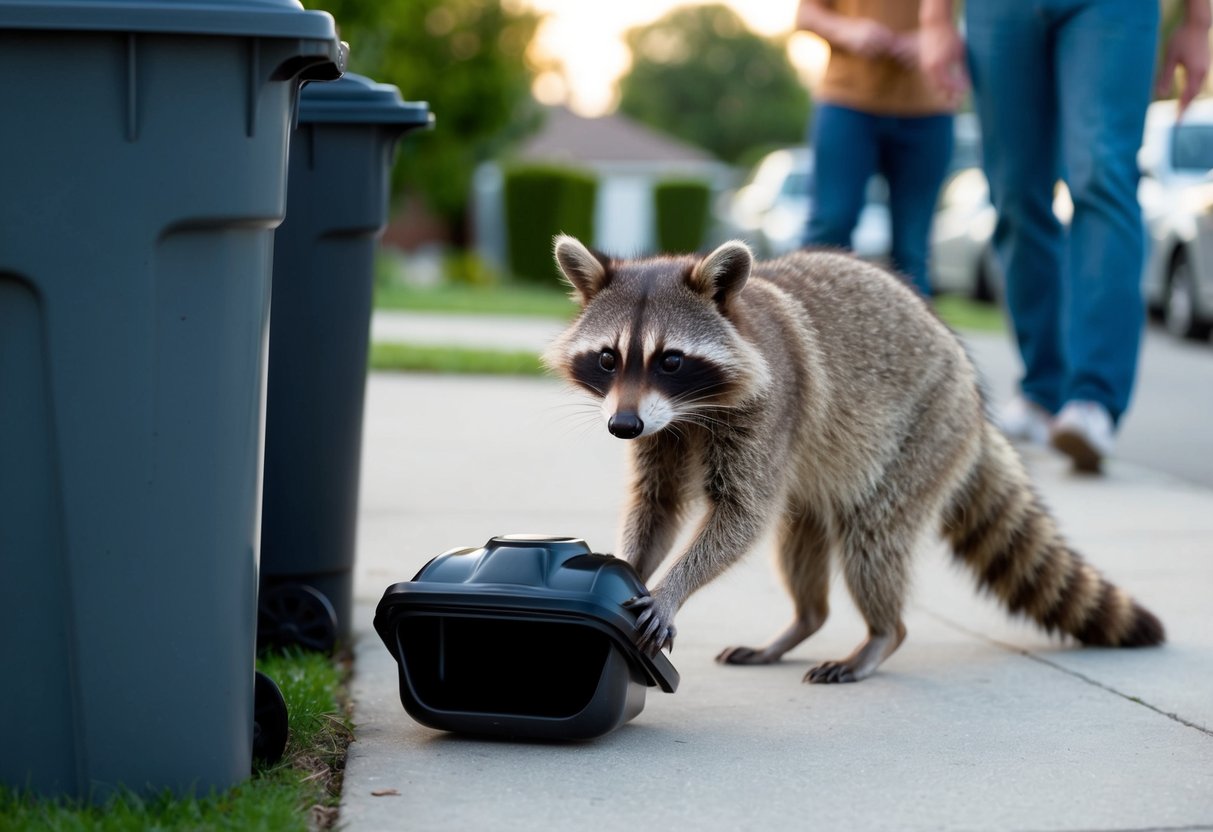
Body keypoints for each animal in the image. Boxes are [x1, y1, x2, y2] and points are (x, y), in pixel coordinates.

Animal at [543, 235, 1164, 683]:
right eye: (608, 358)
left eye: (670, 360)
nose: (622, 426)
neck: (689, 411)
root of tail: (974, 406)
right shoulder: (662, 434)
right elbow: (659, 504)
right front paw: (629, 565)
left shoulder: (770, 412)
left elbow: (743, 516)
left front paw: (673, 587)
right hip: (823, 476)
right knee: (799, 537)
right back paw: (802, 621)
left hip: (922, 433)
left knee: (874, 539)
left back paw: (882, 633)